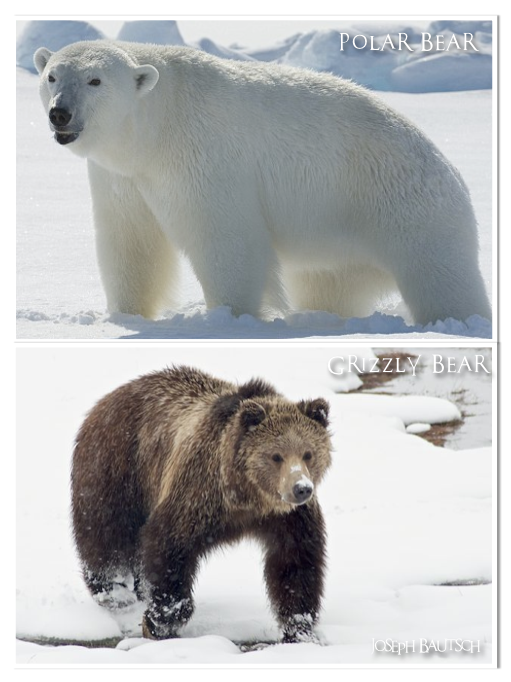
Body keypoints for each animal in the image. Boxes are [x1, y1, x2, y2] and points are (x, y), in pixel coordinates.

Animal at [34, 40, 492, 325]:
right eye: (53, 75)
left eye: (95, 80)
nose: (61, 114)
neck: (157, 123)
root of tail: (451, 172)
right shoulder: (123, 175)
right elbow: (130, 237)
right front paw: (126, 315)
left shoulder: (204, 153)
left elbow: (225, 236)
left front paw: (230, 316)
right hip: (339, 245)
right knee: (330, 285)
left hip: (401, 205)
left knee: (441, 277)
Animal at [71, 366, 333, 643]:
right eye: (276, 456)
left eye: (308, 453)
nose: (301, 488)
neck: (246, 498)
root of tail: (105, 400)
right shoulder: (199, 492)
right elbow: (169, 544)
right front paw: (161, 620)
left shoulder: (288, 518)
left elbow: (295, 563)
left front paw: (300, 629)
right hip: (116, 467)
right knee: (106, 536)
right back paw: (114, 593)